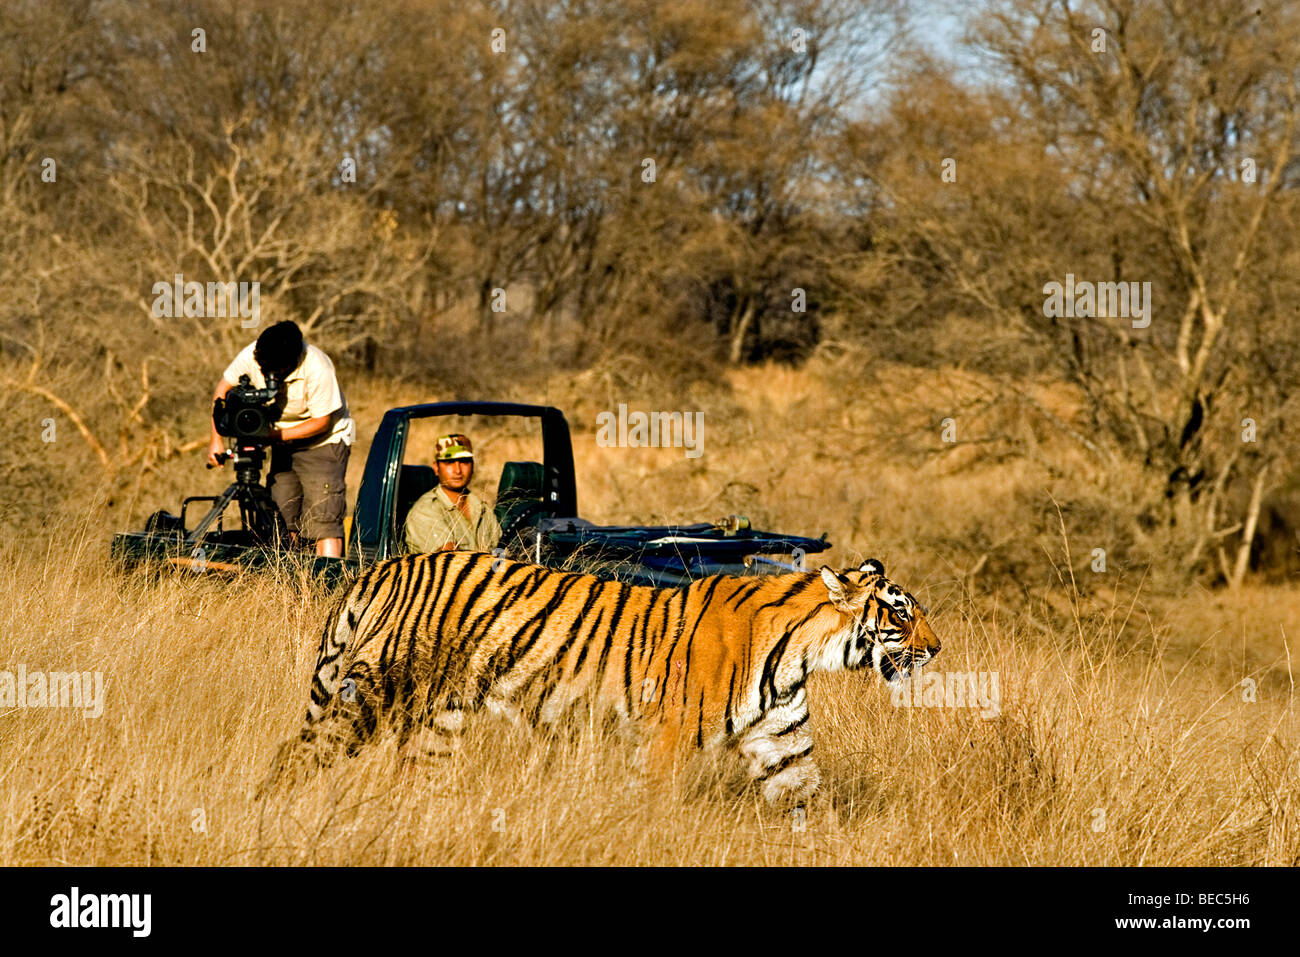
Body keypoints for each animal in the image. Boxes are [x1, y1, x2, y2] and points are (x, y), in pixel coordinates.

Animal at [259, 551, 941, 804]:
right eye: (902, 613)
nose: (937, 649)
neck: (801, 654)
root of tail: (387, 564)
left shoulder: (783, 744)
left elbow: (808, 802)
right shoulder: (668, 739)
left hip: (437, 718)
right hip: (374, 692)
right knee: (302, 752)